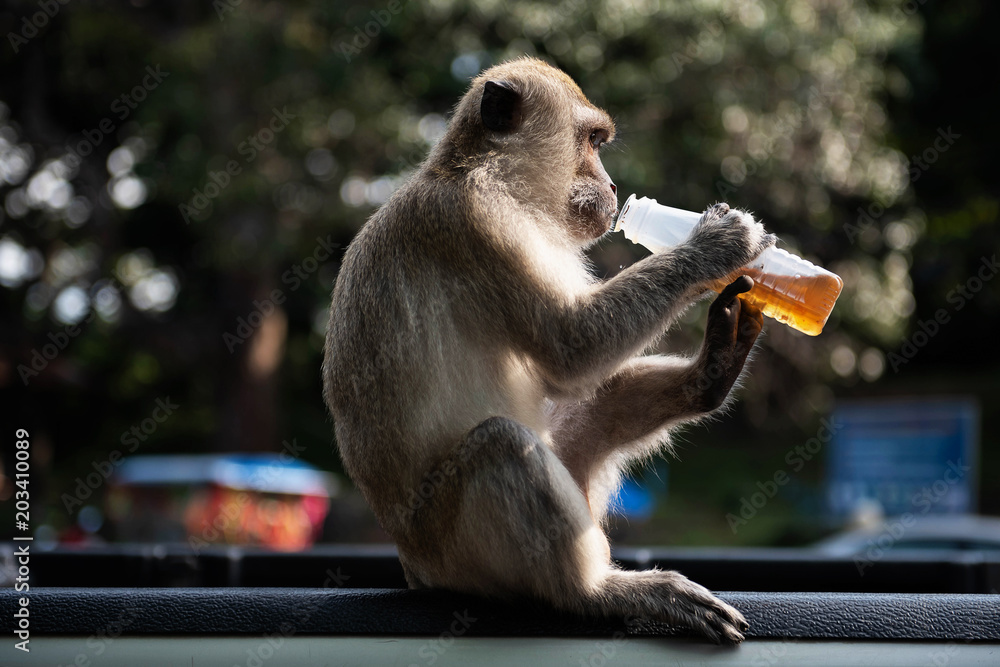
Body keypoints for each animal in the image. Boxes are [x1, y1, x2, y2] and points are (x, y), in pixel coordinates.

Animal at [323, 57, 775, 645]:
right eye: (592, 141)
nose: (611, 183)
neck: (491, 177)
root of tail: (413, 566)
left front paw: (717, 351)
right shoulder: (479, 224)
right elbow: (572, 347)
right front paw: (716, 243)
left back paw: (707, 379)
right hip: (455, 552)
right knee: (502, 442)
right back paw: (595, 591)